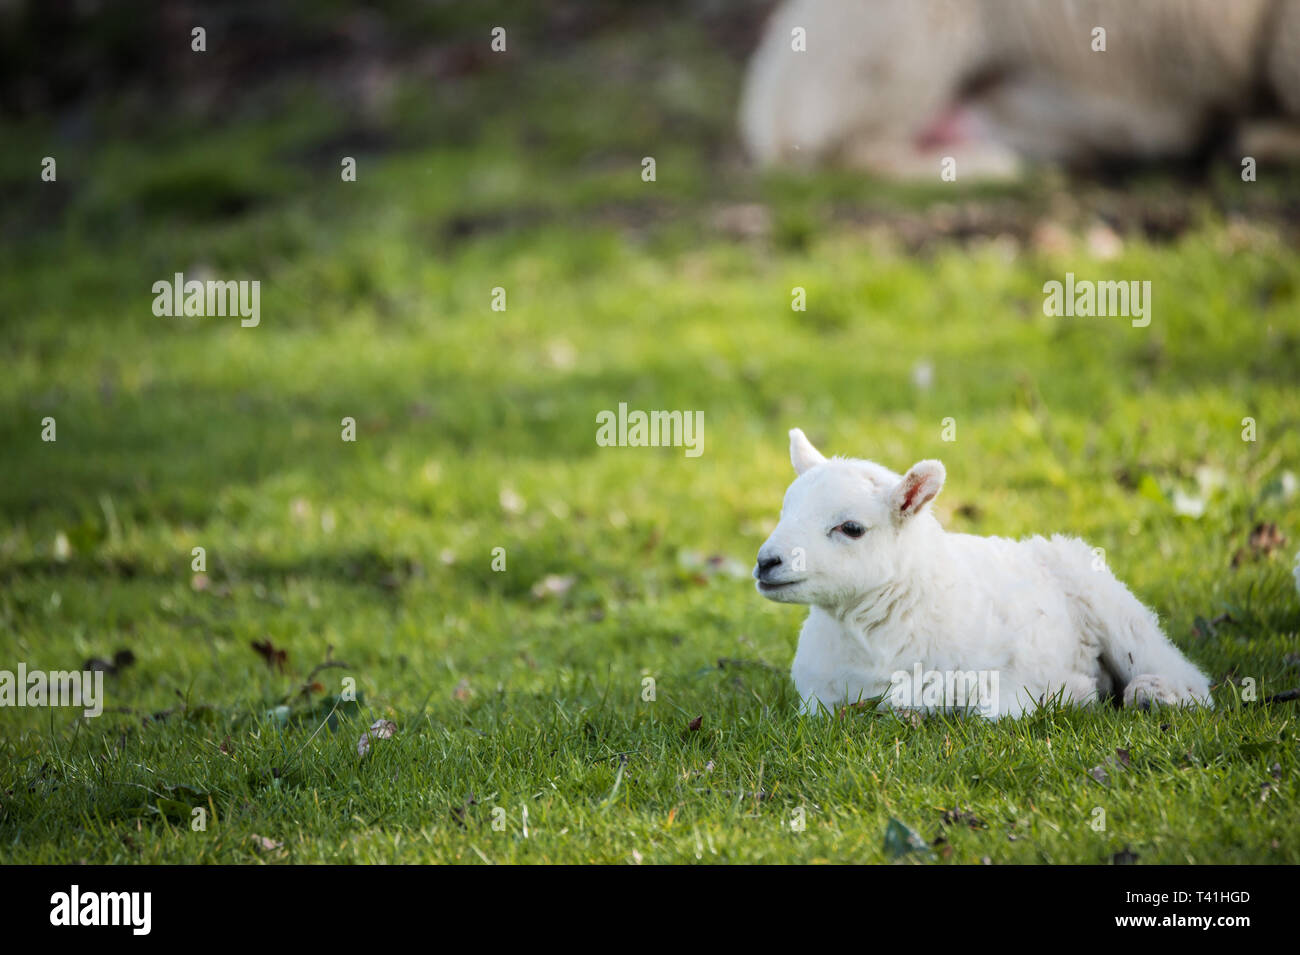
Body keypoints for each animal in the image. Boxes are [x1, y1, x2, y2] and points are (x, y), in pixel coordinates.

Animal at [754, 429, 1214, 718]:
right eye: (785, 510)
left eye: (851, 528)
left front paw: (1075, 694)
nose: (765, 562)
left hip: (1111, 605)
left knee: (1185, 675)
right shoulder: (817, 699)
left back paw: (1156, 693)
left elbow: (987, 707)